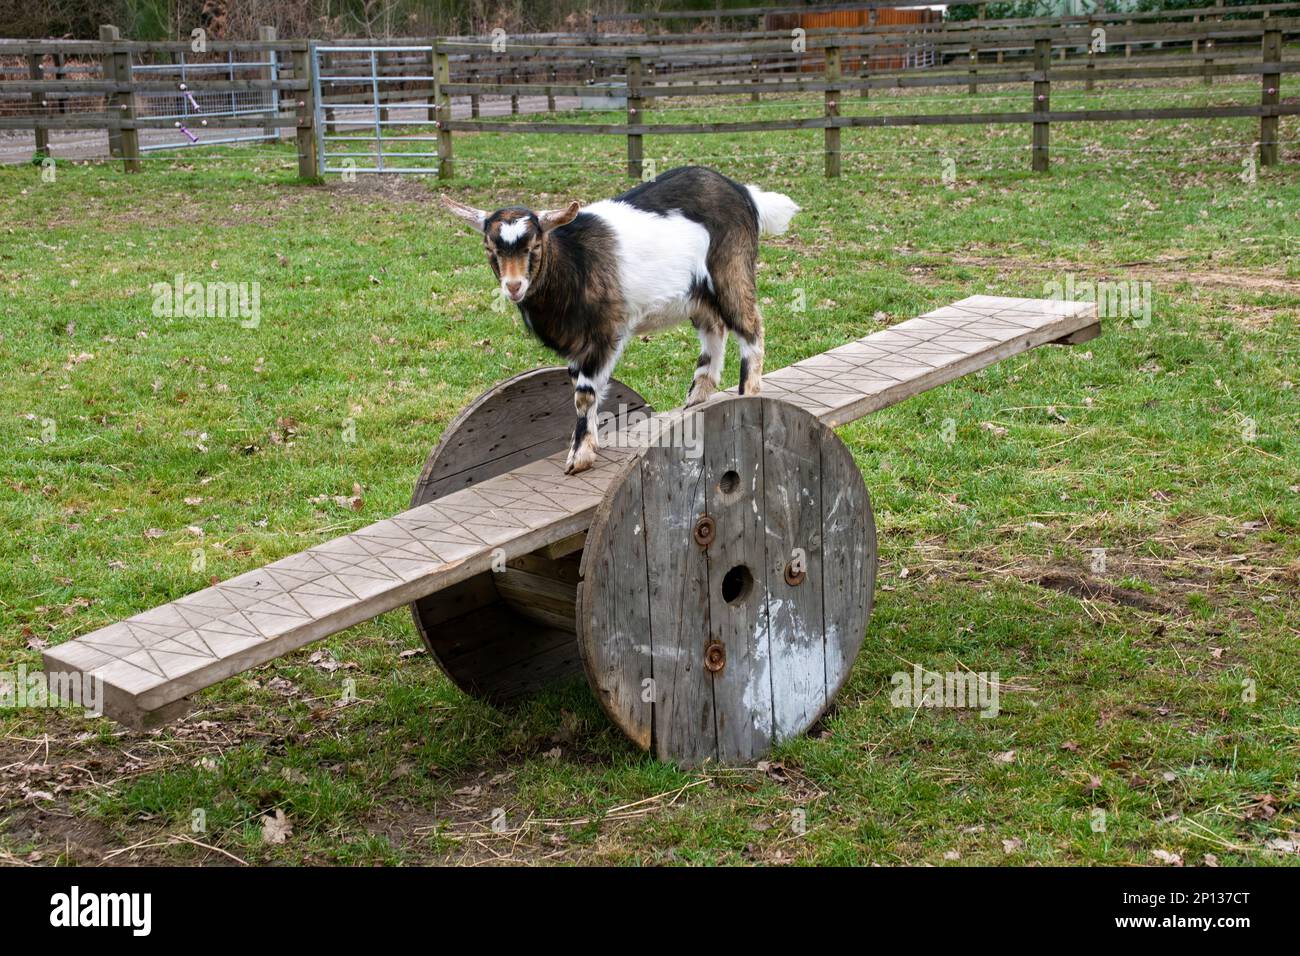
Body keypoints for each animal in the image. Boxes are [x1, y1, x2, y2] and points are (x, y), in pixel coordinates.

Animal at [441, 165, 799, 474]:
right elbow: (581, 388)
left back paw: (748, 394)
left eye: (535, 244)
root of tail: (743, 191)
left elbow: (584, 393)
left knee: (750, 327)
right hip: (696, 295)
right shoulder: (577, 344)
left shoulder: (603, 333)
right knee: (715, 330)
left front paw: (579, 457)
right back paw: (696, 397)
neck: (572, 263)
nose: (513, 286)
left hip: (731, 270)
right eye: (490, 248)